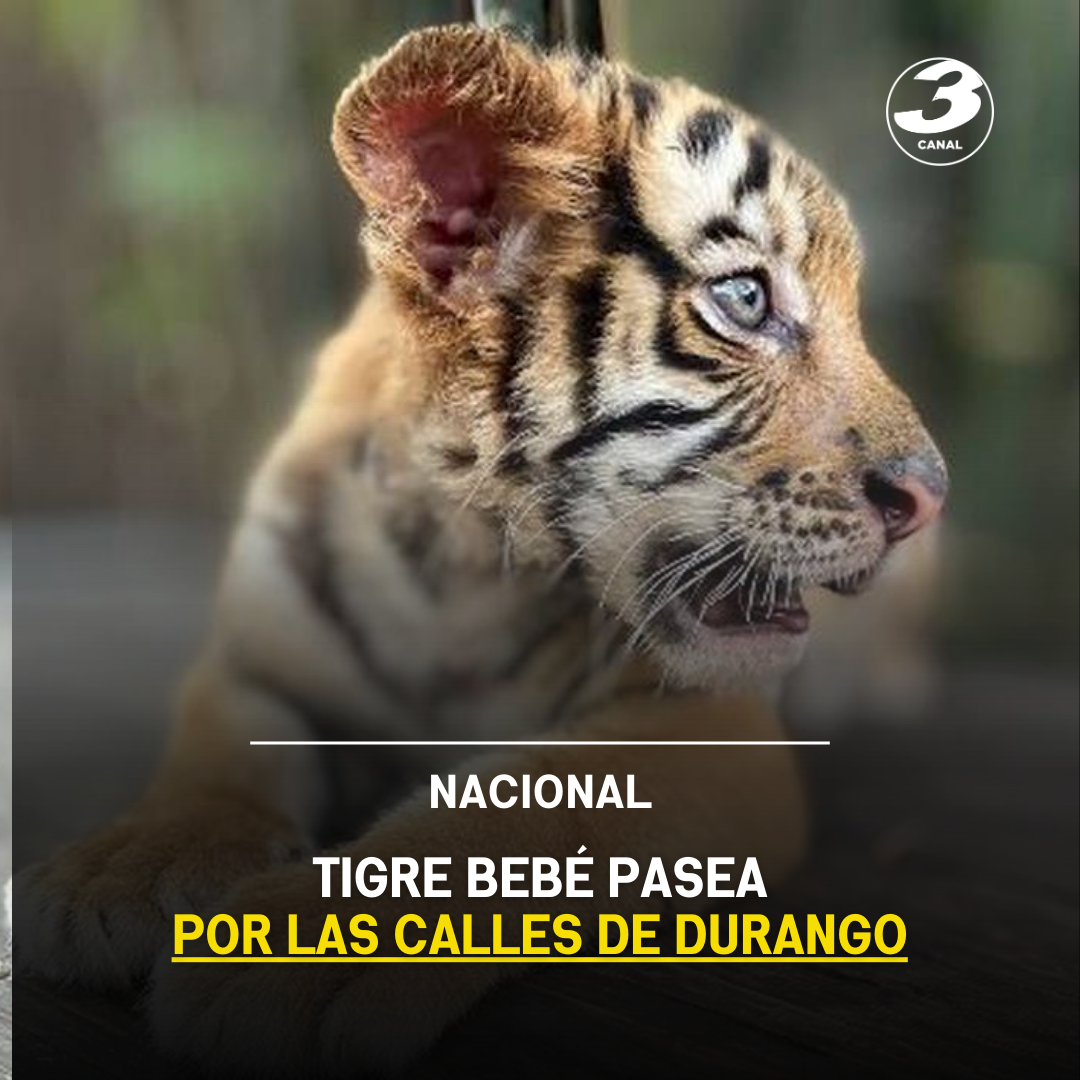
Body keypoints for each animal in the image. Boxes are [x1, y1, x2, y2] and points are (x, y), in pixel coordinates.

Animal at [15, 25, 947, 1075]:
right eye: (747, 299)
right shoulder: (252, 668)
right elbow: (211, 766)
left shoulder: (708, 725)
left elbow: (516, 806)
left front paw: (298, 952)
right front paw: (113, 871)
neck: (459, 568)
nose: (929, 495)